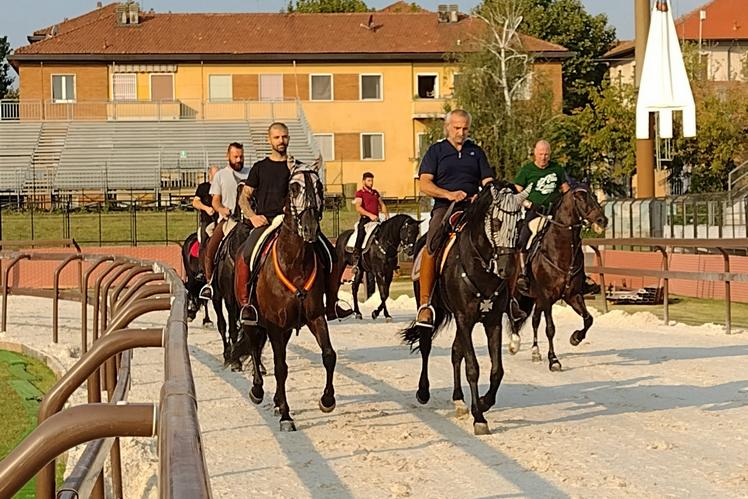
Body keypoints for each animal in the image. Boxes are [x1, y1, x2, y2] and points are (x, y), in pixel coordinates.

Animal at [226, 162, 334, 432]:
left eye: (319, 186)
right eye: (293, 187)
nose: (309, 228)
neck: (295, 261)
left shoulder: (315, 317)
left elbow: (329, 355)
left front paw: (327, 400)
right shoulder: (275, 324)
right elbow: (280, 367)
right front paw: (286, 415)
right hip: (252, 319)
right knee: (254, 349)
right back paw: (257, 391)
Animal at [400, 182, 528, 436]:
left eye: (518, 224)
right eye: (496, 222)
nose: (507, 268)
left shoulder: (492, 321)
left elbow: (496, 369)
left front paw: (485, 402)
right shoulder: (465, 319)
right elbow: (473, 368)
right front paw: (479, 417)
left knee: (455, 351)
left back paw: (459, 400)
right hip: (432, 309)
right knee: (427, 346)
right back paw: (423, 391)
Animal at [512, 186, 612, 374]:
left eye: (594, 196)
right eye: (580, 198)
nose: (602, 220)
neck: (561, 250)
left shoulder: (572, 295)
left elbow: (588, 319)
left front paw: (576, 338)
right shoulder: (547, 297)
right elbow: (550, 329)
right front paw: (554, 361)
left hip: (537, 299)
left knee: (534, 320)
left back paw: (535, 352)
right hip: (518, 291)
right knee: (513, 312)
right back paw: (514, 343)